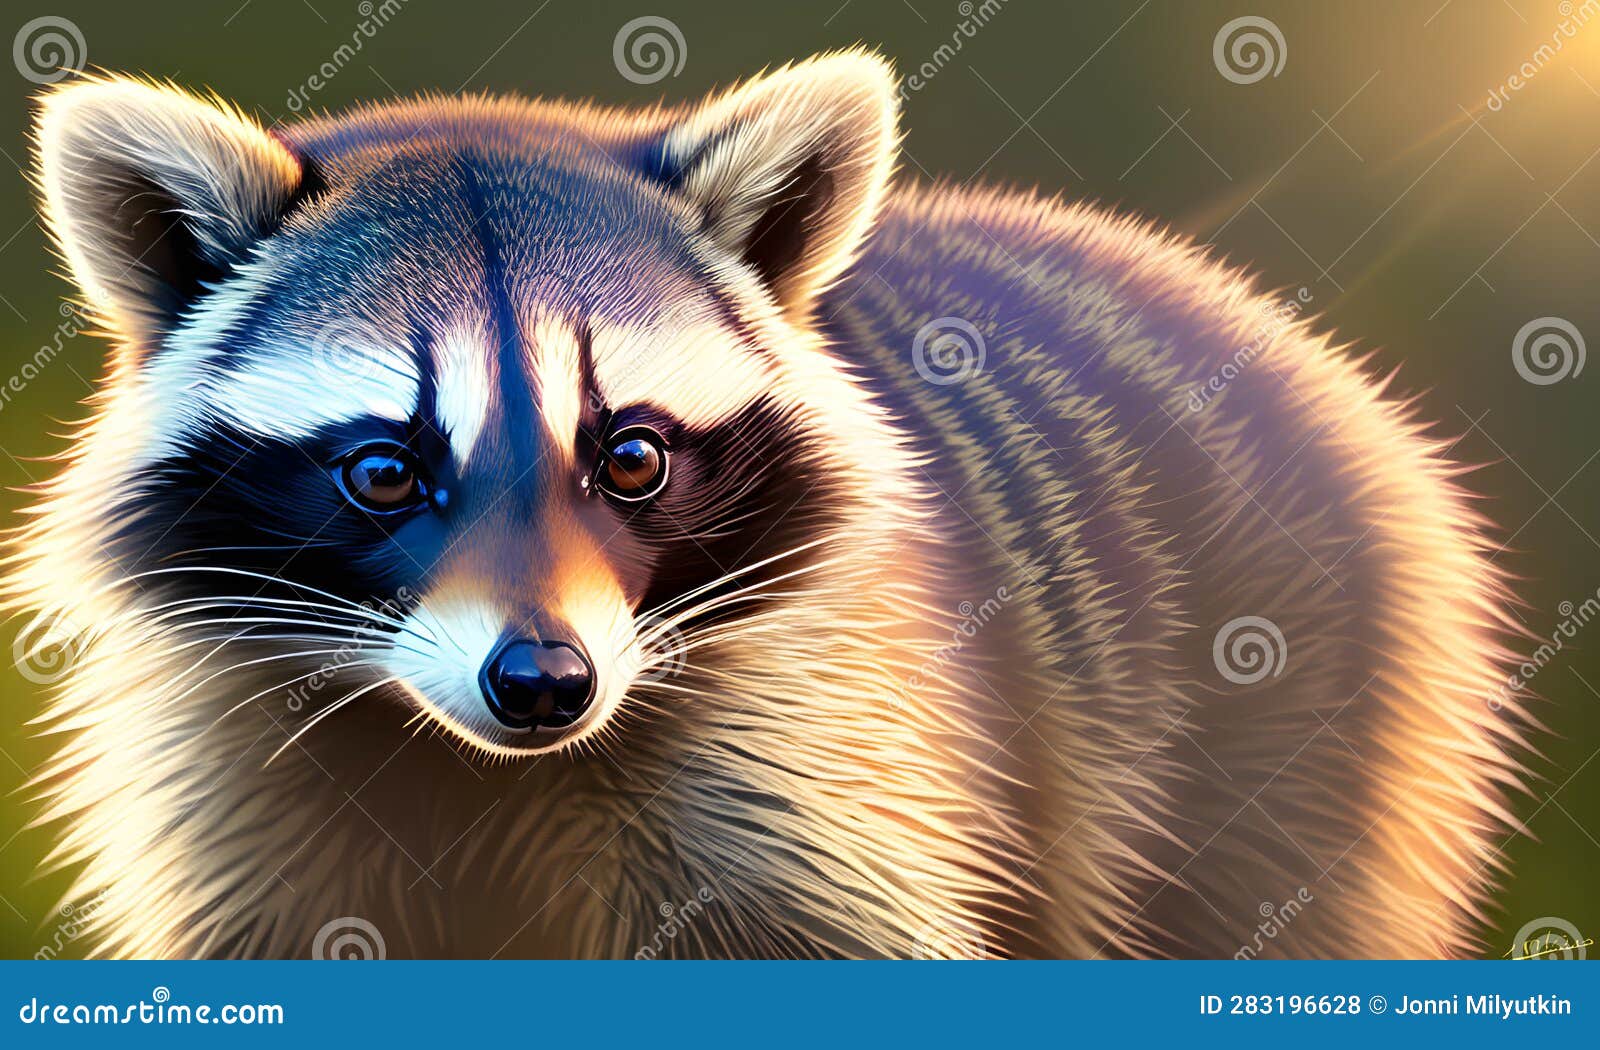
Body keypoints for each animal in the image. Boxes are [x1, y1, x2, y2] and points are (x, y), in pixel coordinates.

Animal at [8, 51, 1525, 959]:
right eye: (385, 471)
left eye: (631, 457)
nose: (543, 681)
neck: (474, 758)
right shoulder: (229, 770)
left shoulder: (830, 741)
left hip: (1314, 708)